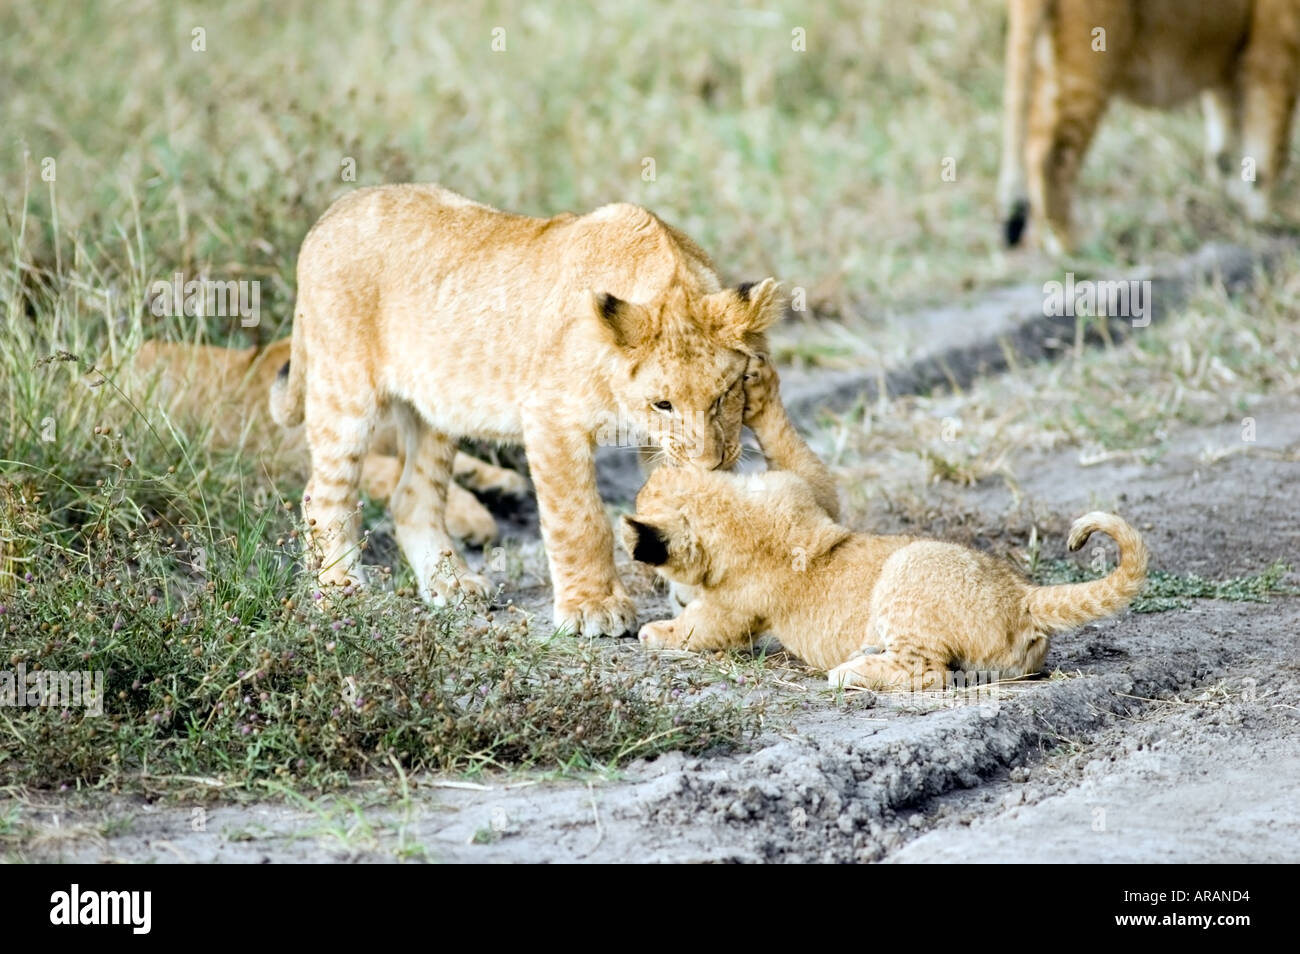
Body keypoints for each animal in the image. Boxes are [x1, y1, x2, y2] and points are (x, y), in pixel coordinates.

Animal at [270, 183, 808, 636]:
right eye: (663, 403)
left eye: (725, 393)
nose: (711, 464)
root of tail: (334, 211)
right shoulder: (553, 419)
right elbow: (580, 519)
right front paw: (594, 609)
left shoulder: (661, 446)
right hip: (345, 390)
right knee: (323, 495)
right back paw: (340, 589)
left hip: (434, 411)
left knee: (411, 497)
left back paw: (451, 584)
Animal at [999, 0, 1300, 253]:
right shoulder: (1273, 49)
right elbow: (1271, 143)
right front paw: (1272, 214)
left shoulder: (1230, 67)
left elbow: (1226, 143)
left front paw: (1233, 198)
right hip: (1089, 64)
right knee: (1051, 158)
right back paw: (1071, 242)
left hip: (1049, 67)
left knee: (1034, 142)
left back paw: (1043, 238)